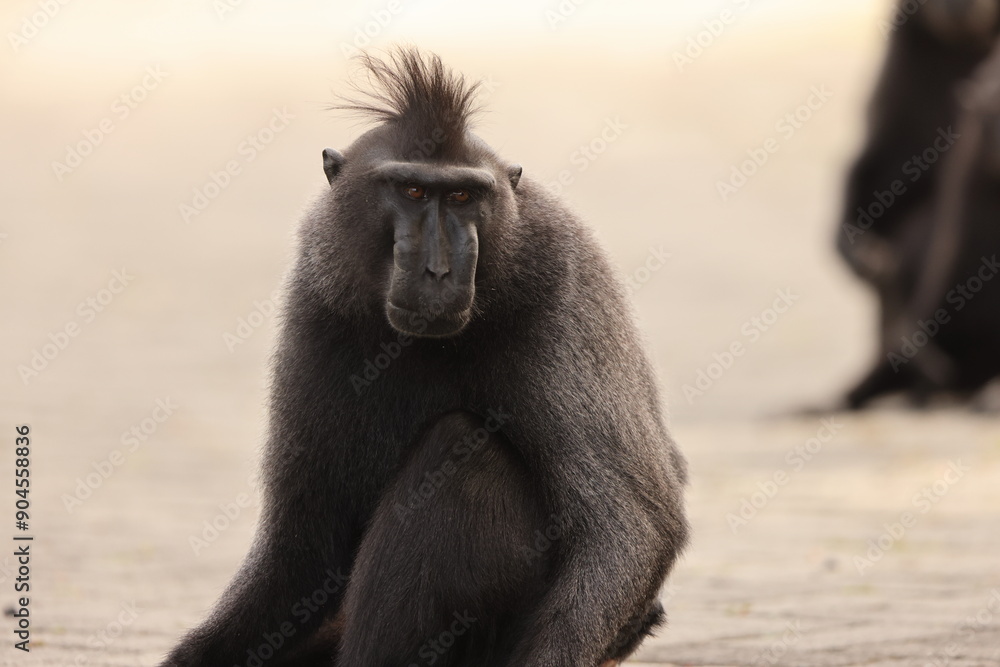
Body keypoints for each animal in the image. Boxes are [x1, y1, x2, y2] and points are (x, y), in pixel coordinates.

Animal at [160, 48, 688, 667]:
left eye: (461, 197)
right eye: (411, 192)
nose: (438, 271)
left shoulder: (562, 279)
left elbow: (630, 526)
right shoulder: (318, 298)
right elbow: (305, 551)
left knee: (465, 454)